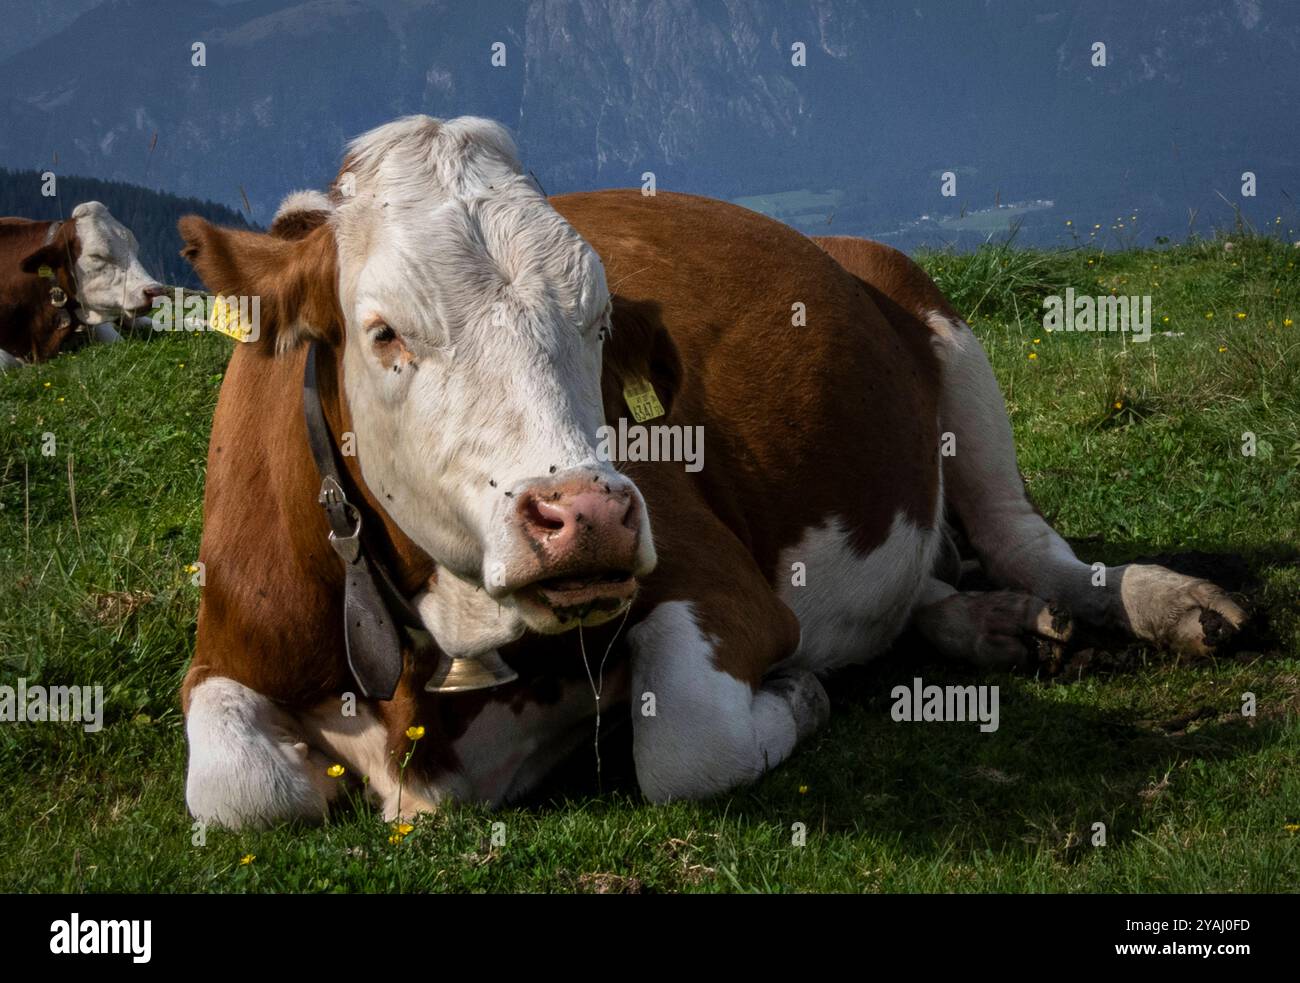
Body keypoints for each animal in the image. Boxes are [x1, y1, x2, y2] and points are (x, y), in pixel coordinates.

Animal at [176, 115, 1245, 828]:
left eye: (599, 319)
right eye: (385, 332)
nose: (589, 514)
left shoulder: (720, 587)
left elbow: (686, 742)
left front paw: (801, 696)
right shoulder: (221, 649)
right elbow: (240, 788)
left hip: (934, 316)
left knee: (1030, 541)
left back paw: (1163, 602)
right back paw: (995, 624)